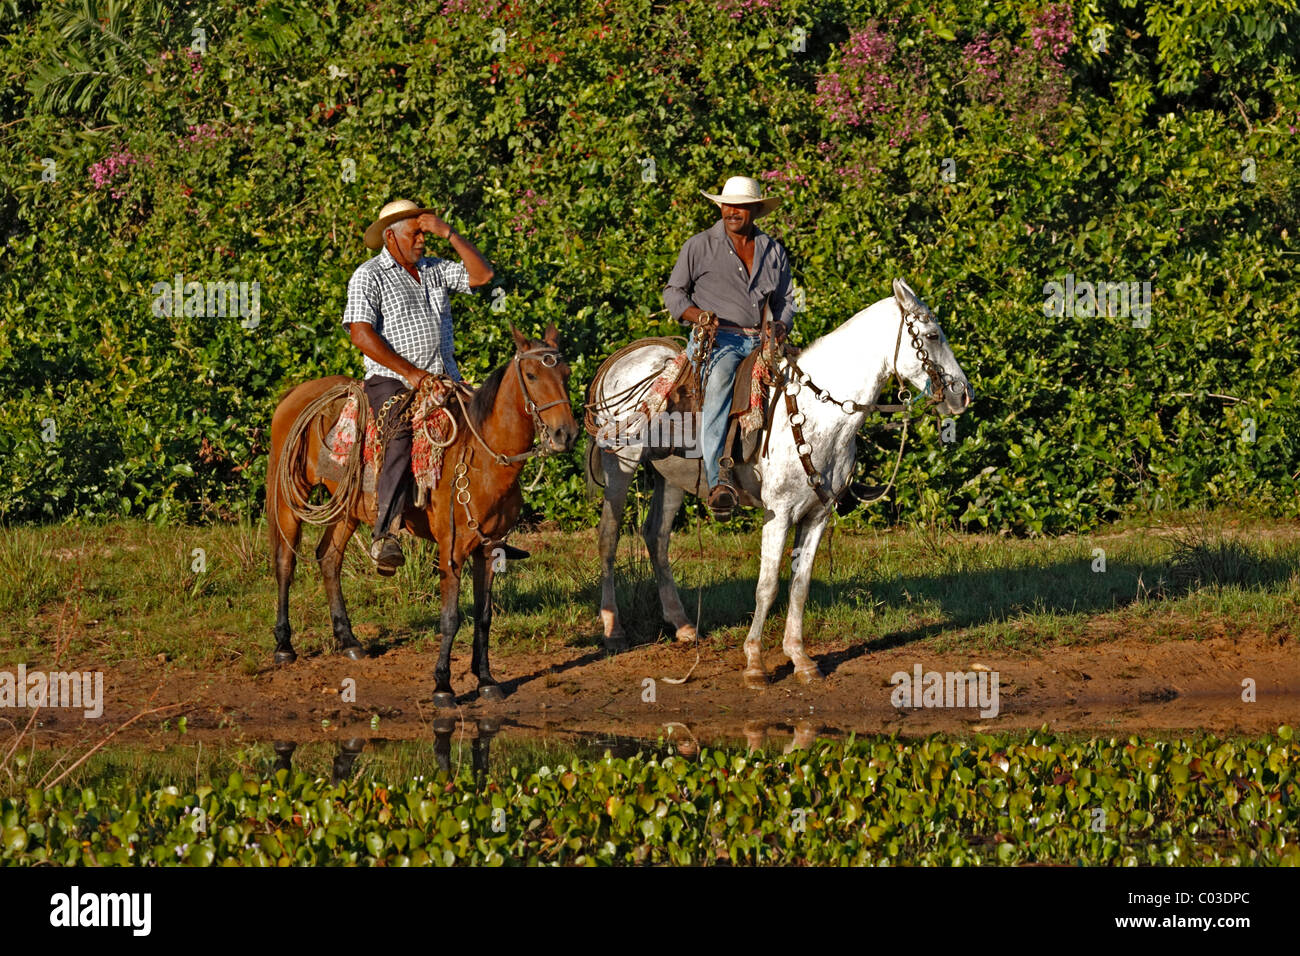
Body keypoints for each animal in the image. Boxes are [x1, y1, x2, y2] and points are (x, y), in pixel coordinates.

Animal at [266, 324, 578, 706]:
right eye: (532, 375)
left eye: (566, 374)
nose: (566, 434)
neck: (483, 460)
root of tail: (295, 394)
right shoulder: (452, 550)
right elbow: (450, 618)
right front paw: (443, 686)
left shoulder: (489, 549)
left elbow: (484, 616)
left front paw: (486, 680)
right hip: (289, 495)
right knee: (285, 561)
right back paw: (284, 646)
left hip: (347, 509)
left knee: (329, 558)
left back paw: (349, 641)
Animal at [585, 280, 972, 687]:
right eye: (932, 335)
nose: (963, 393)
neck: (818, 412)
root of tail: (628, 359)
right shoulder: (780, 513)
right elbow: (767, 585)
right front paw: (755, 663)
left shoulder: (818, 515)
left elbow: (800, 585)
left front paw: (800, 658)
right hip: (620, 463)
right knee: (609, 537)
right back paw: (613, 630)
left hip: (669, 476)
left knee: (656, 536)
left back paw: (683, 625)